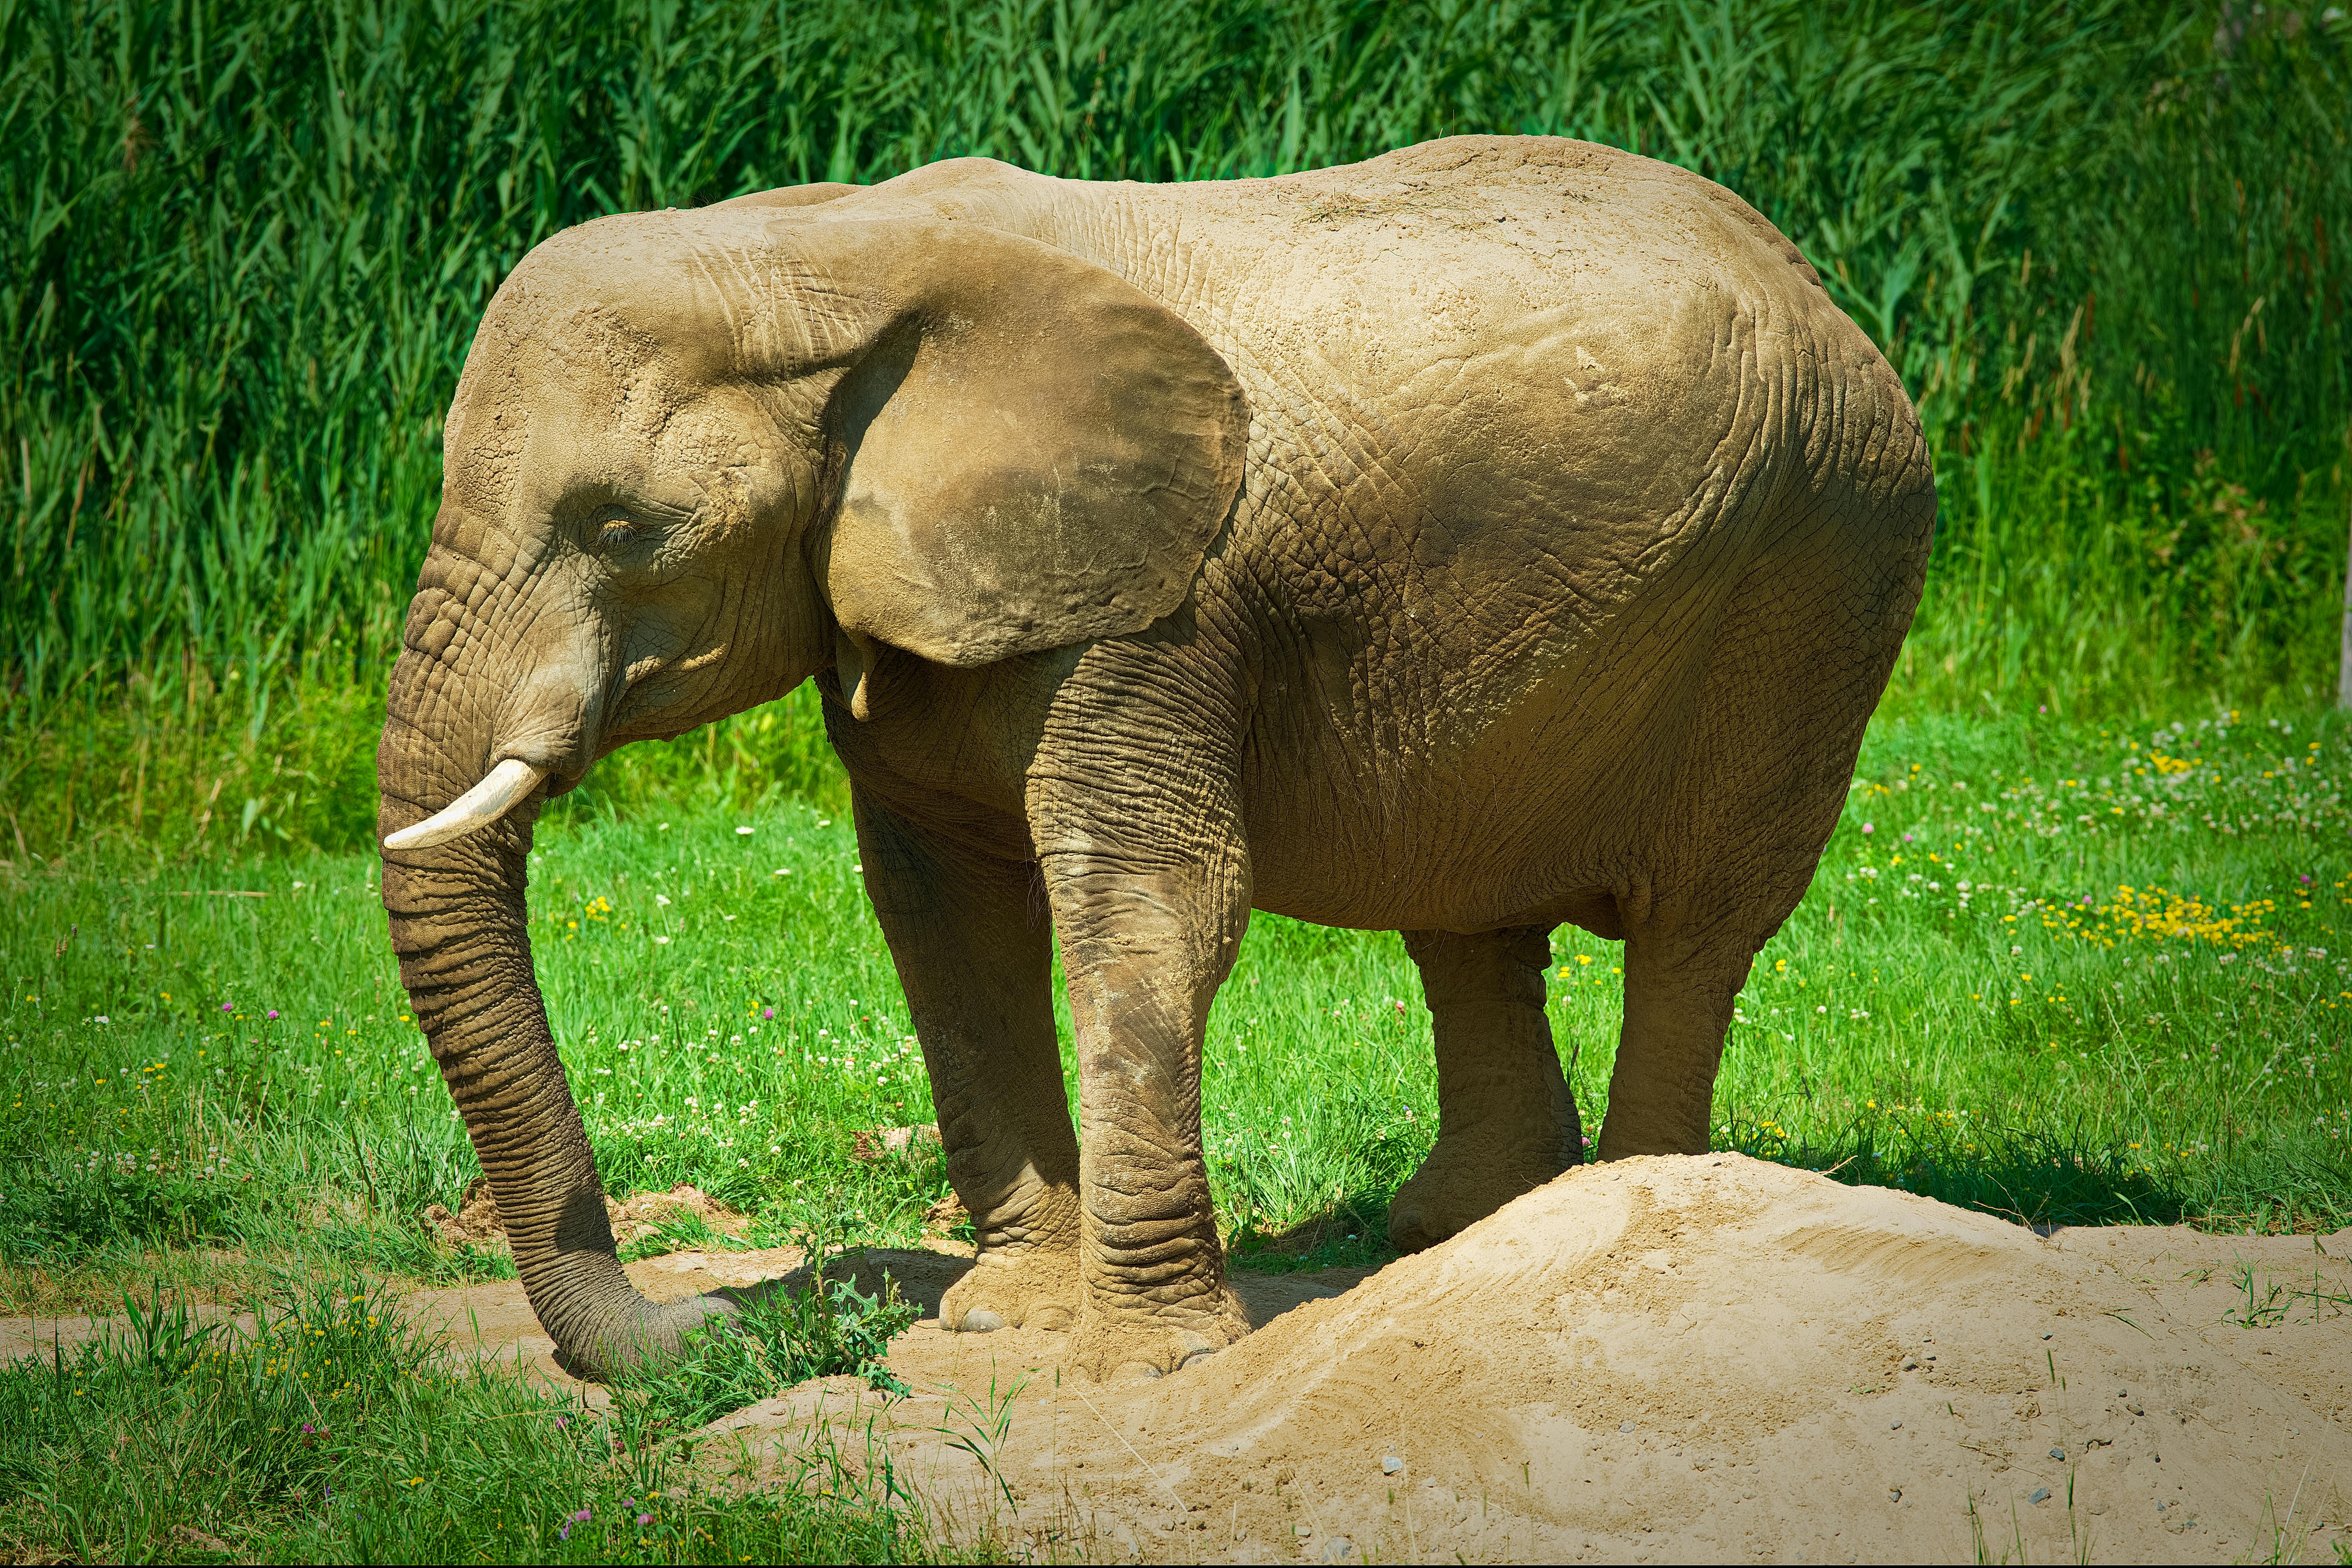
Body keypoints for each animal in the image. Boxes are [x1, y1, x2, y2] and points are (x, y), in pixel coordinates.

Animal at [377, 134, 1934, 1380]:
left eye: (620, 525)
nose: (721, 1323)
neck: (829, 247)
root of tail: (1815, 282)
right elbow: (942, 918)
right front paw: (1005, 1314)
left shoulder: (1158, 593)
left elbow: (1150, 901)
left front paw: (1149, 1361)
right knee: (1465, 912)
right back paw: (1468, 1233)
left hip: (1822, 567)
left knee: (1695, 926)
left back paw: (1641, 1213)